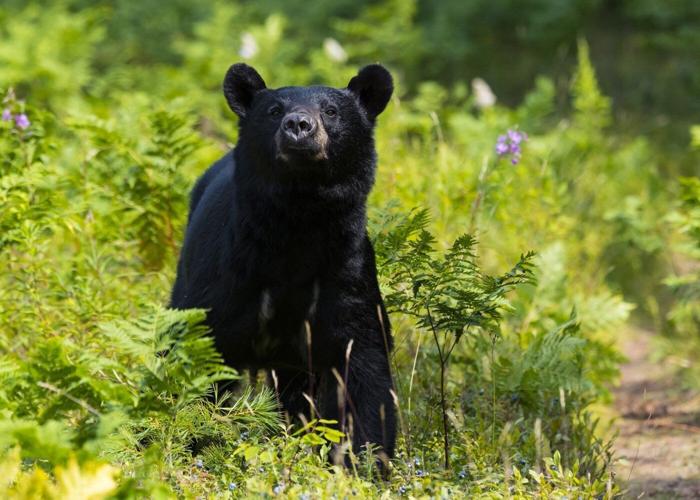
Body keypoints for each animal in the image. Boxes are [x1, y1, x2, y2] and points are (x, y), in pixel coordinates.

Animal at [170, 63, 396, 464]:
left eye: (331, 111)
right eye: (274, 110)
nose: (298, 125)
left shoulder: (346, 273)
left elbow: (364, 368)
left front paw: (365, 459)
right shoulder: (227, 276)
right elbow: (199, 348)